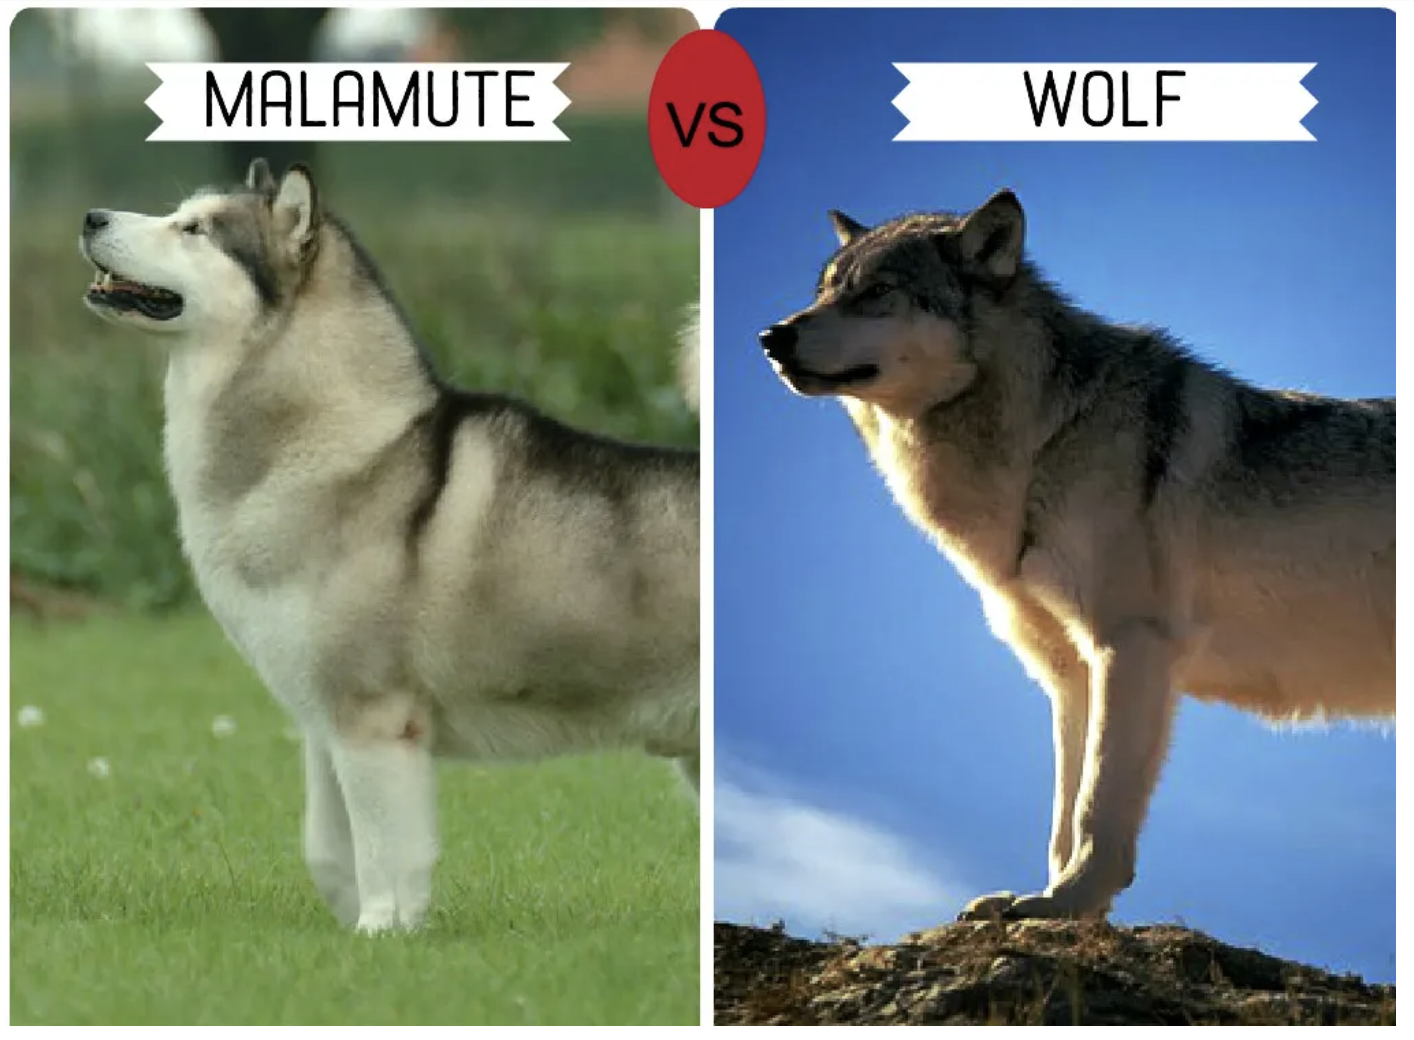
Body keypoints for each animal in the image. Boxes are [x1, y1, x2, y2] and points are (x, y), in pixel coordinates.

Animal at [79, 159, 700, 934]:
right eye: (179, 212)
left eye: (194, 229)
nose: (92, 217)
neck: (342, 446)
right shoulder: (324, 719)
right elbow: (327, 845)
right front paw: (374, 924)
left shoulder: (371, 717)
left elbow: (380, 845)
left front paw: (381, 931)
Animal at [759, 188, 1394, 921]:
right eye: (826, 291)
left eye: (877, 293)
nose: (772, 336)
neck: (1047, 440)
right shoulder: (1069, 674)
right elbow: (1062, 817)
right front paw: (1051, 904)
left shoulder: (1132, 647)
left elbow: (1097, 807)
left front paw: (1067, 902)